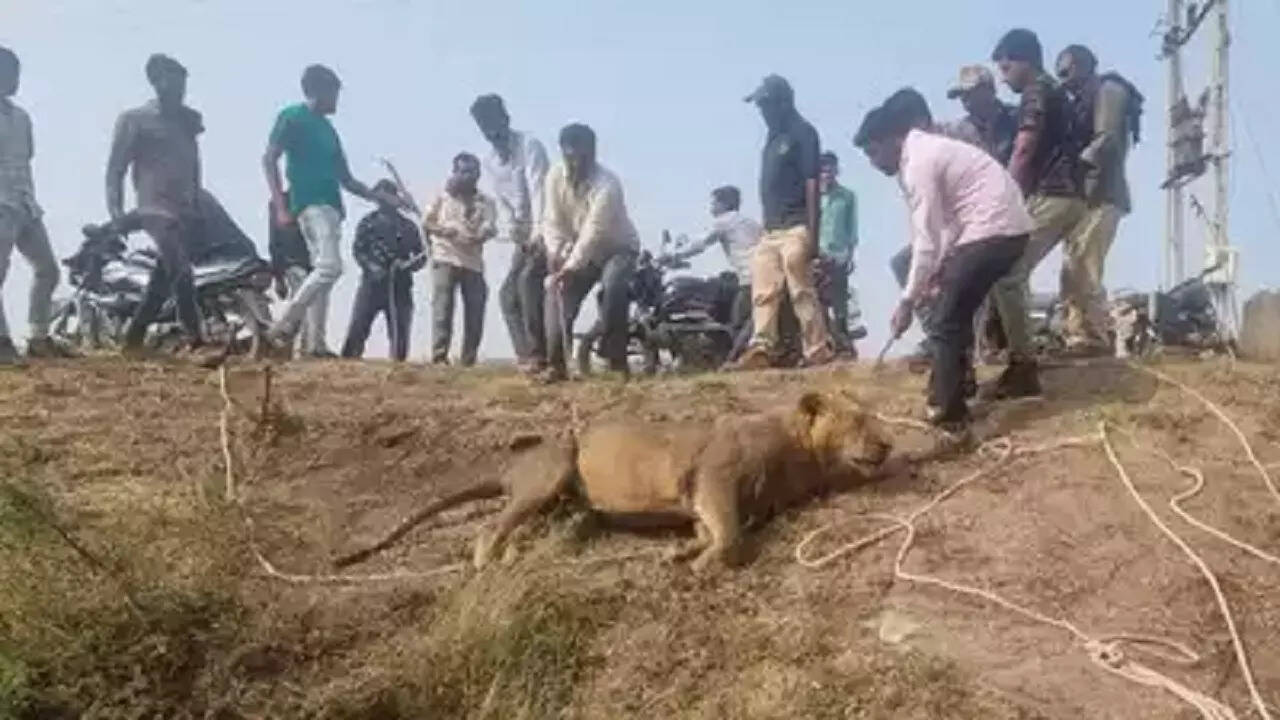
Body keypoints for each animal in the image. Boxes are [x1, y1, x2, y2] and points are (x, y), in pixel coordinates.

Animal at [334, 392, 893, 572]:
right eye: (859, 420)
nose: (889, 445)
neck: (802, 455)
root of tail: (513, 466)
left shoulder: (722, 503)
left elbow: (710, 531)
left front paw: (683, 552)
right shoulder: (714, 479)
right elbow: (730, 537)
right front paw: (701, 564)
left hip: (561, 502)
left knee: (528, 526)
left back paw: (520, 555)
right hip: (555, 466)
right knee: (490, 528)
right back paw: (488, 563)